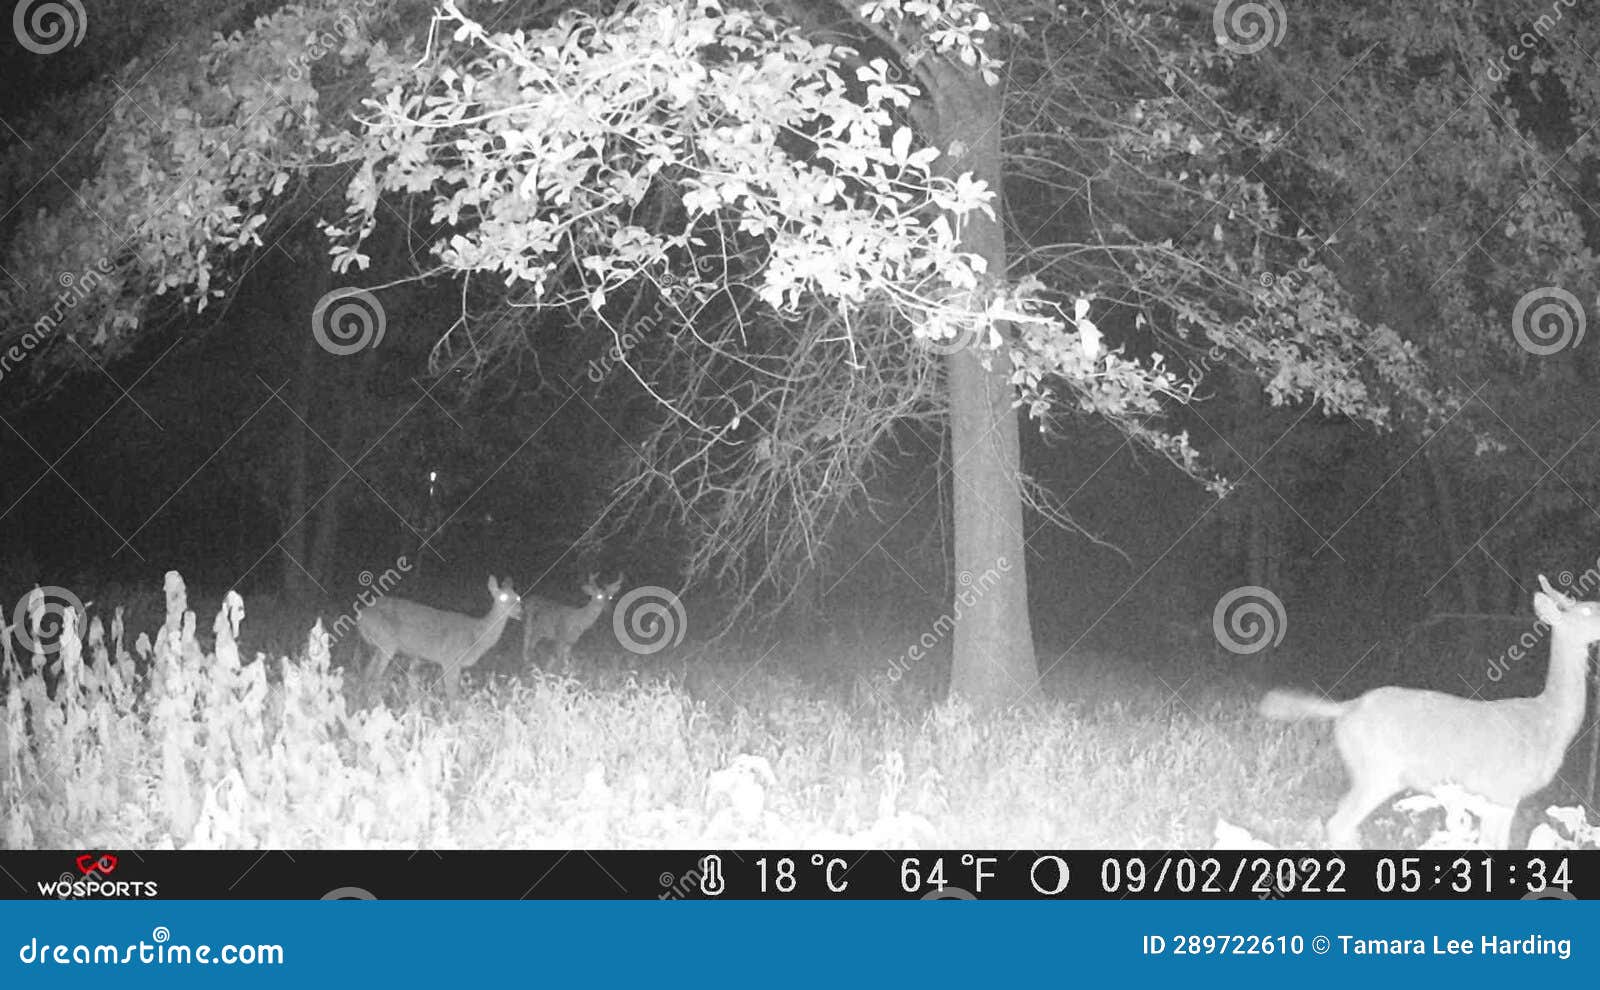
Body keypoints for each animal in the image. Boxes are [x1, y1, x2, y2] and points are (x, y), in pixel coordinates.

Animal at [356, 575, 523, 697]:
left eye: (518, 597)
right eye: (502, 598)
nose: (520, 612)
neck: (476, 635)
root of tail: (361, 615)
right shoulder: (450, 659)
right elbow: (452, 693)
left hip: (379, 646)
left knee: (366, 673)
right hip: (386, 641)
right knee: (374, 676)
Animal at [1258, 574, 1599, 848]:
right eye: (1586, 610)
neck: (1548, 721)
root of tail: (1348, 707)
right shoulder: (1502, 791)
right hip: (1378, 770)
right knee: (1339, 823)